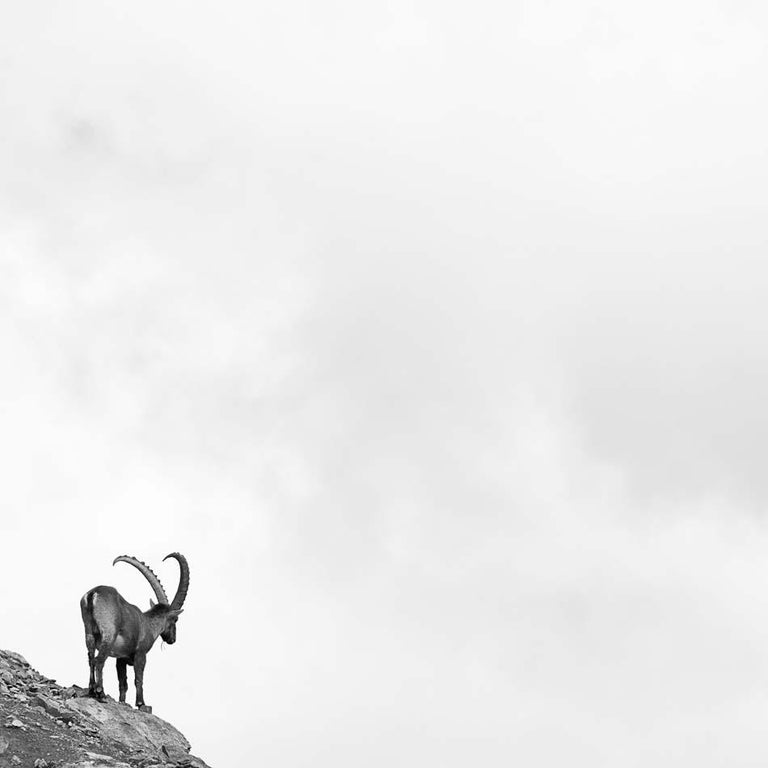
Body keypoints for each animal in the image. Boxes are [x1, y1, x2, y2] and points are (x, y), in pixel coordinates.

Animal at [80, 553, 189, 711]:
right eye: (175, 619)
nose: (172, 640)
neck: (148, 624)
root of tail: (93, 594)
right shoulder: (141, 654)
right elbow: (138, 678)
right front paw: (141, 703)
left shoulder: (121, 659)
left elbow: (123, 683)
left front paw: (122, 702)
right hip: (109, 633)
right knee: (99, 660)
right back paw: (100, 692)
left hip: (88, 631)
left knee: (90, 658)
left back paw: (91, 689)